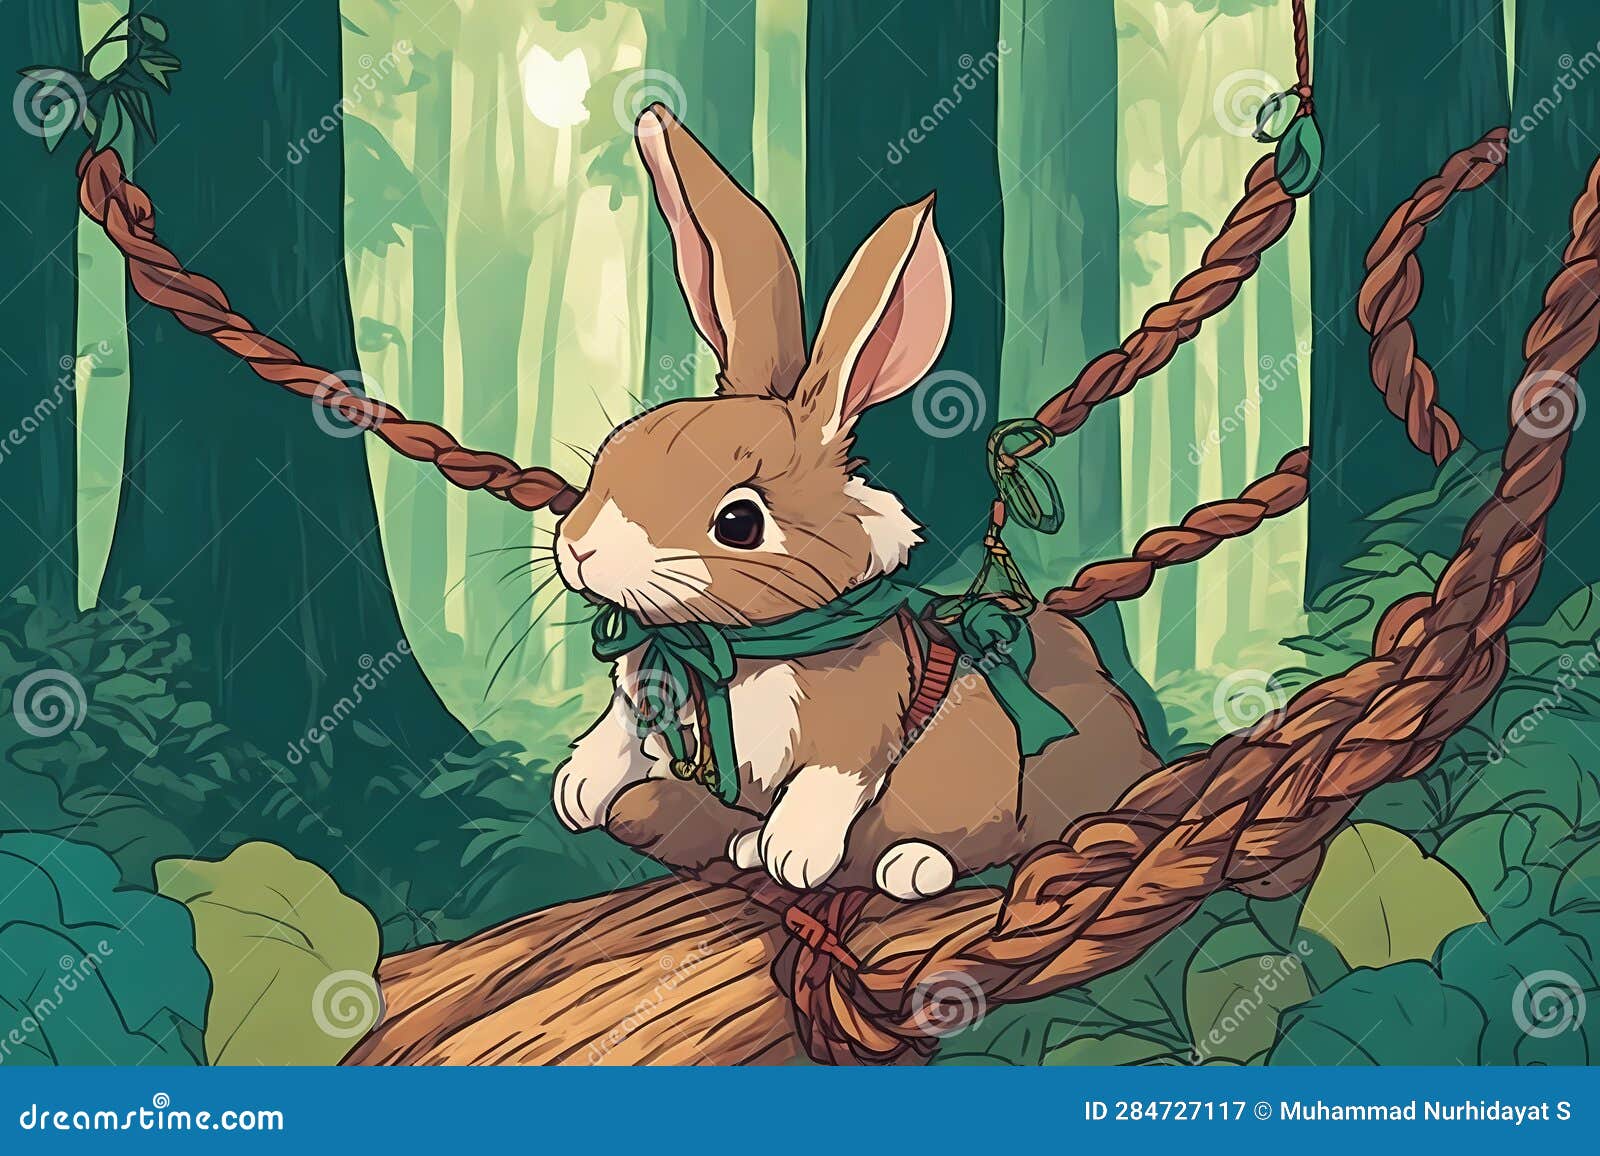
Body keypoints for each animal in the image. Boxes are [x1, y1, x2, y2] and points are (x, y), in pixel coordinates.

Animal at [551, 104, 1162, 900]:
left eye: (739, 522)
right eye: (614, 450)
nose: (579, 549)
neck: (739, 647)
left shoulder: (855, 728)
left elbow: (831, 778)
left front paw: (794, 852)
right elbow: (617, 732)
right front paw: (576, 788)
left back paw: (904, 863)